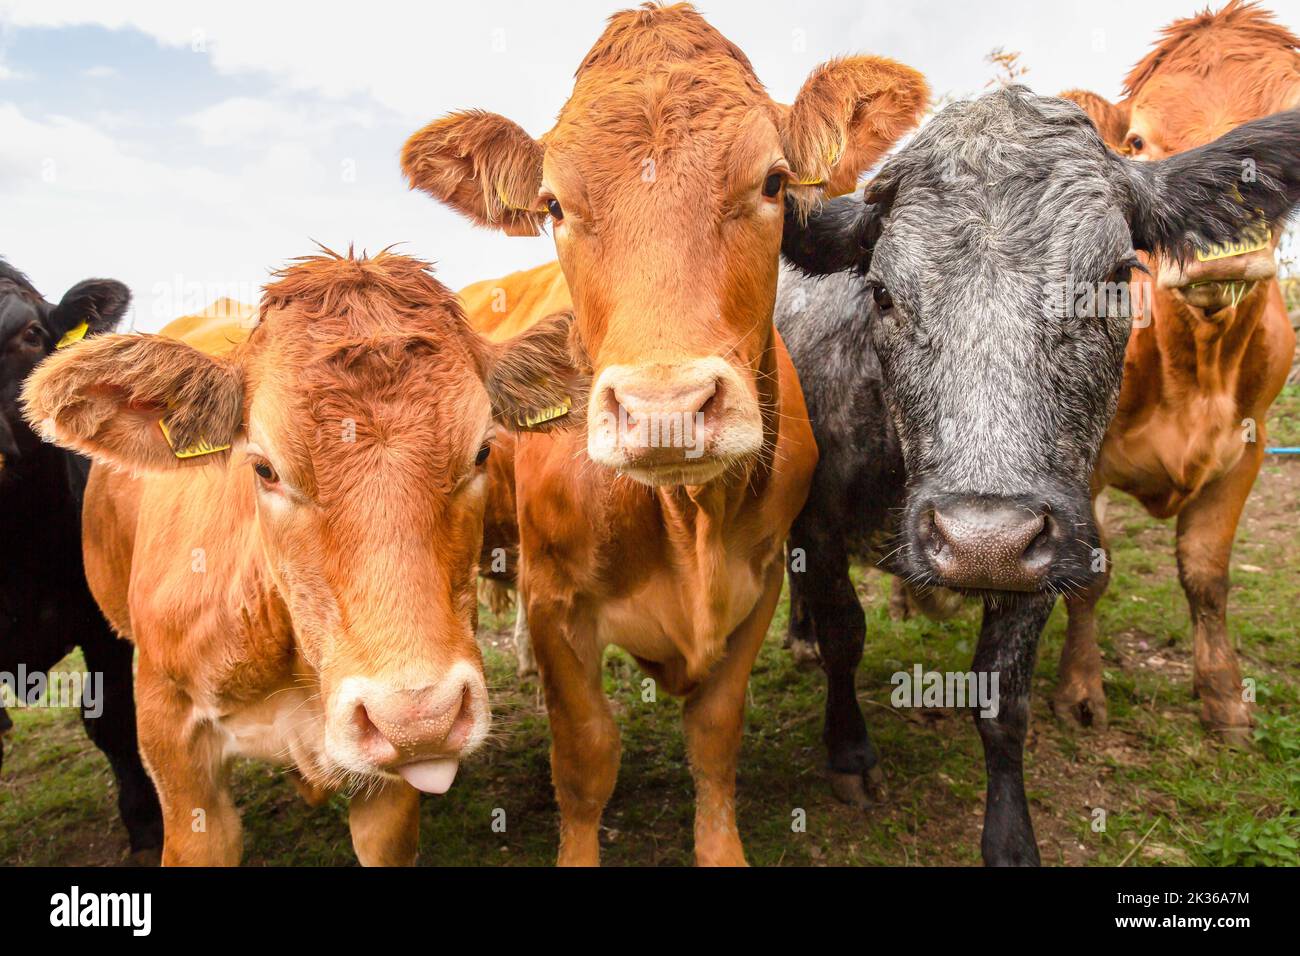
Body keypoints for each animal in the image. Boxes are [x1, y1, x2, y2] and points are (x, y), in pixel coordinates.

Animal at [401, 2, 928, 865]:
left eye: (773, 181)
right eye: (553, 206)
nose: (665, 409)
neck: (687, 521)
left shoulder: (760, 584)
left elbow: (714, 737)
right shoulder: (557, 602)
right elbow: (585, 758)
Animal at [779, 88, 1300, 864]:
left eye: (1114, 279)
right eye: (882, 293)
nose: (981, 541)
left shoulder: (1050, 539)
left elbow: (1003, 697)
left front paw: (1011, 837)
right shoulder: (817, 521)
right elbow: (847, 634)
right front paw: (848, 753)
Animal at [1052, 0, 1300, 745]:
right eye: (1137, 142)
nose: (1220, 246)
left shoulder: (1249, 442)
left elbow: (1206, 571)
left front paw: (1223, 697)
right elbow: (1091, 572)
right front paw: (1080, 691)